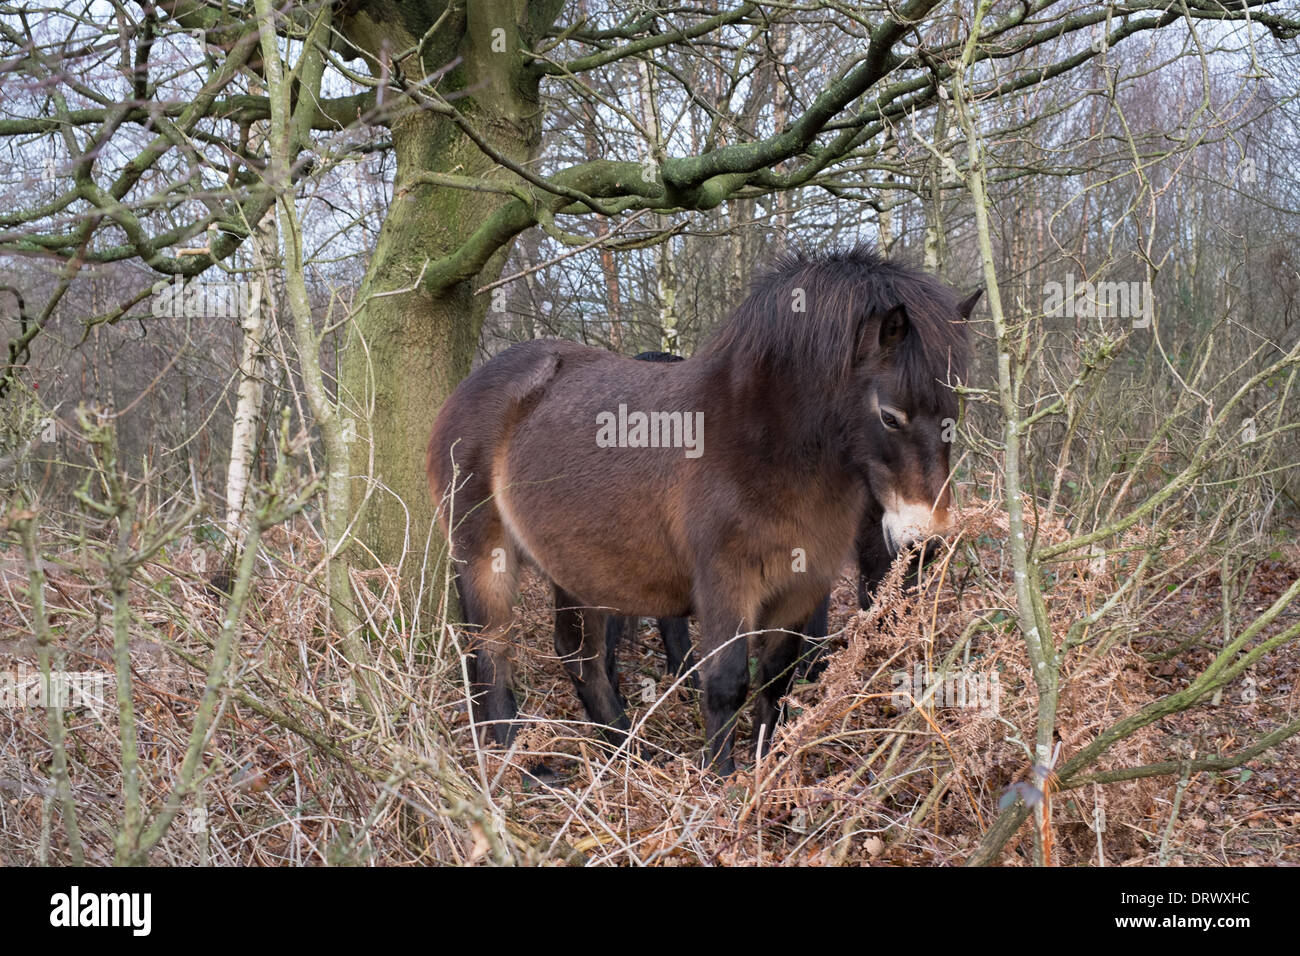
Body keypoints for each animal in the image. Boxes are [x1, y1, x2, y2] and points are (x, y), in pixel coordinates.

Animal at [428, 246, 977, 775]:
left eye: (955, 411)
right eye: (890, 416)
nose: (928, 536)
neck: (763, 449)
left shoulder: (800, 588)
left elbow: (775, 679)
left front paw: (765, 768)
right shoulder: (726, 584)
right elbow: (727, 682)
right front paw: (719, 780)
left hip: (577, 567)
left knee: (578, 655)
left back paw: (629, 754)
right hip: (485, 554)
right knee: (491, 649)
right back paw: (522, 766)